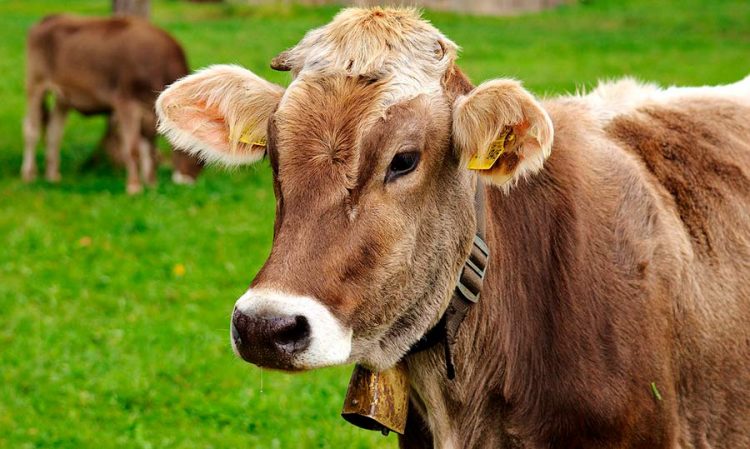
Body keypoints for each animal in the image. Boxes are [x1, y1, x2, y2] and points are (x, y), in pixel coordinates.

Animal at [22, 14, 203, 194]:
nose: (188, 182)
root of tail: (49, 18)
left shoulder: (149, 113)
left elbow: (149, 148)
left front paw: (151, 184)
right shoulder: (126, 103)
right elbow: (133, 148)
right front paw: (134, 186)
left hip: (63, 96)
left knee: (54, 132)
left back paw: (52, 175)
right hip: (36, 84)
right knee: (31, 129)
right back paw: (29, 174)